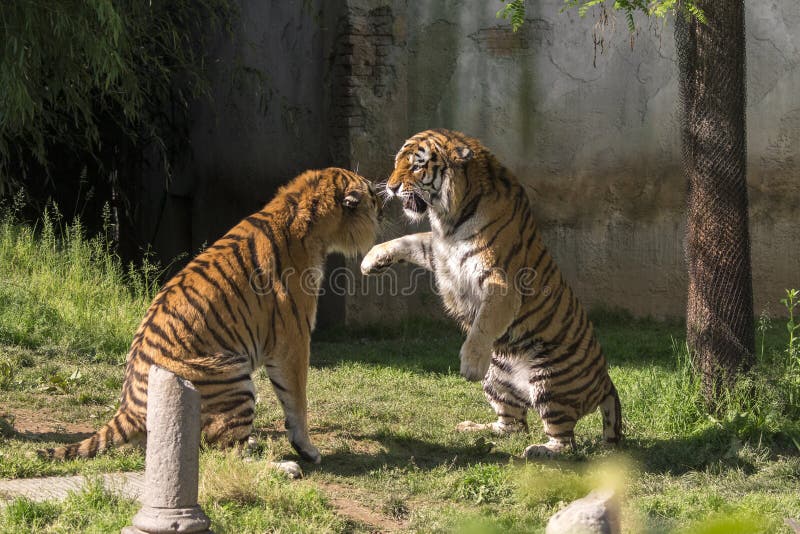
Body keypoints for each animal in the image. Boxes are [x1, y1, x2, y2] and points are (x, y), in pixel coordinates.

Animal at [41, 168, 382, 464]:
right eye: (369, 192)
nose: (383, 197)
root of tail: (128, 409)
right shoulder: (293, 340)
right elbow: (297, 399)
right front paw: (307, 449)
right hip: (233, 377)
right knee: (226, 455)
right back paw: (284, 467)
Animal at [361, 129, 621, 456]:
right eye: (397, 163)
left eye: (417, 166)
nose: (392, 187)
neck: (450, 217)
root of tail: (605, 380)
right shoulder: (440, 251)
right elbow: (408, 240)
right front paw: (371, 260)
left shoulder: (500, 282)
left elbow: (483, 324)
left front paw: (470, 364)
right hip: (497, 378)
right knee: (513, 425)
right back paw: (472, 428)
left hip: (550, 383)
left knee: (565, 441)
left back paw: (540, 450)